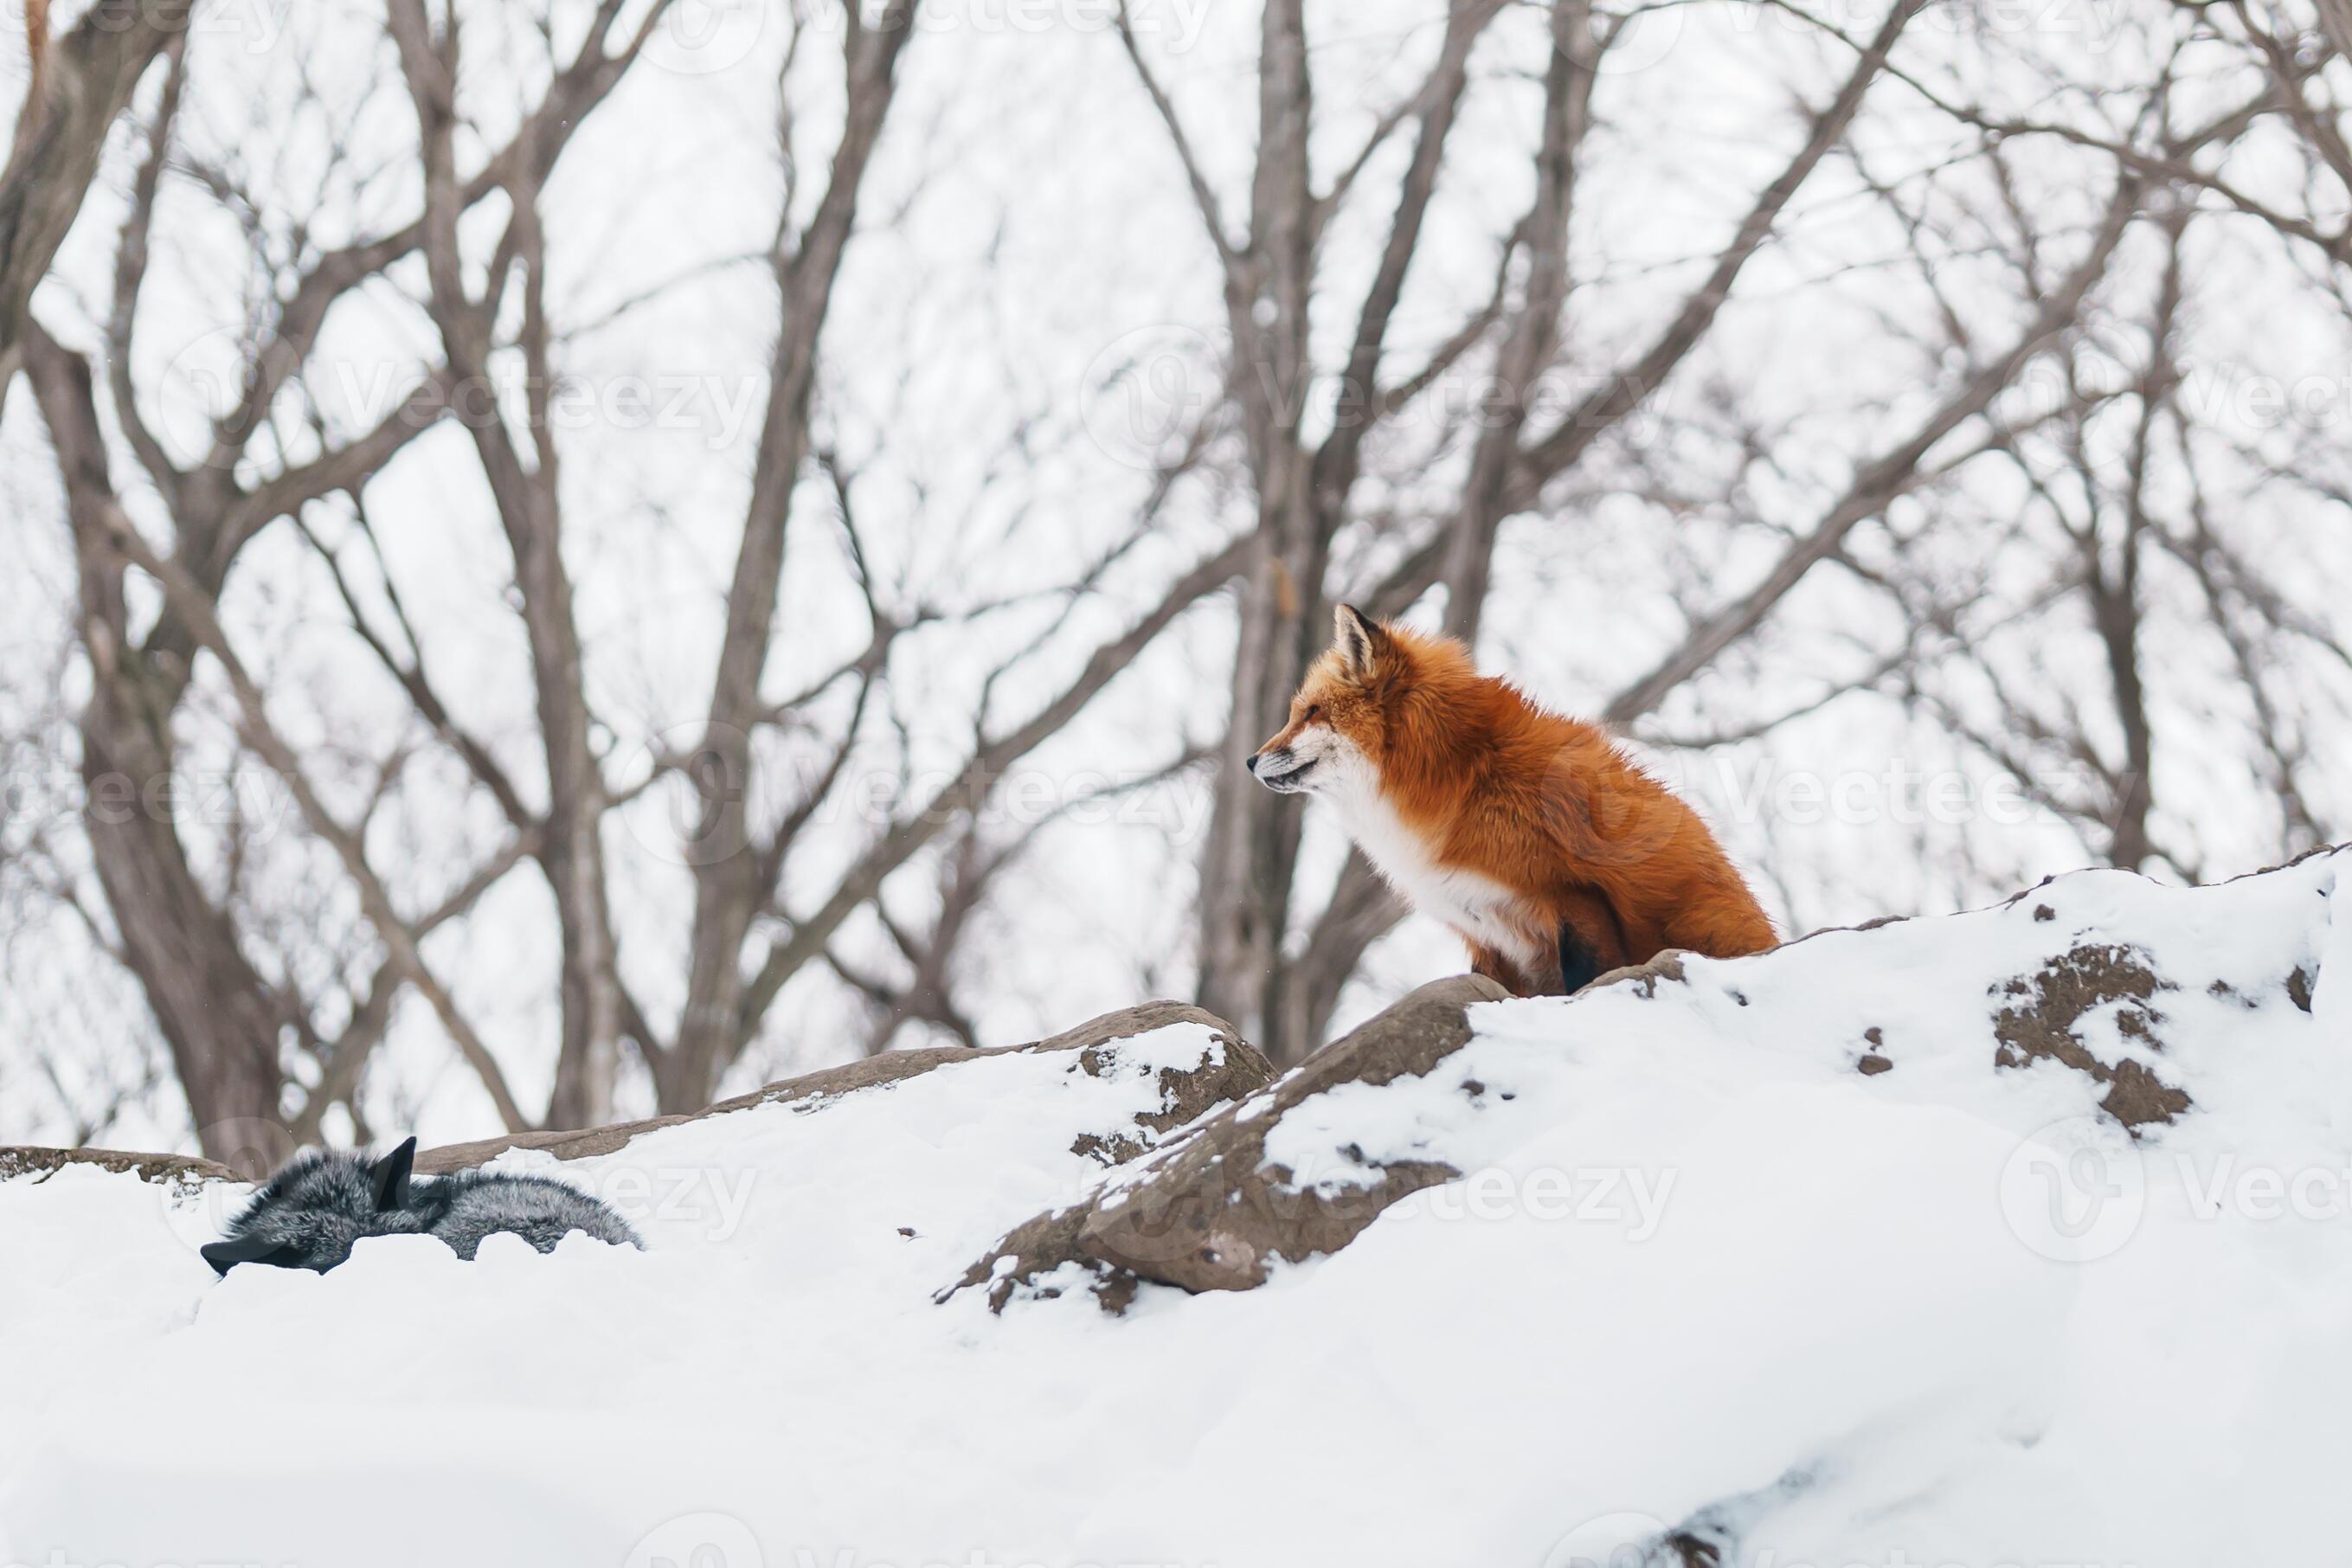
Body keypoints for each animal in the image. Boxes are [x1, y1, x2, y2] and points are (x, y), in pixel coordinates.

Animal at [1248, 605, 1777, 997]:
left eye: (1311, 712)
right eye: (1297, 712)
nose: (1250, 761)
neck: (1466, 778)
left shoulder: (1577, 898)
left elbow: (1587, 980)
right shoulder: (1486, 935)